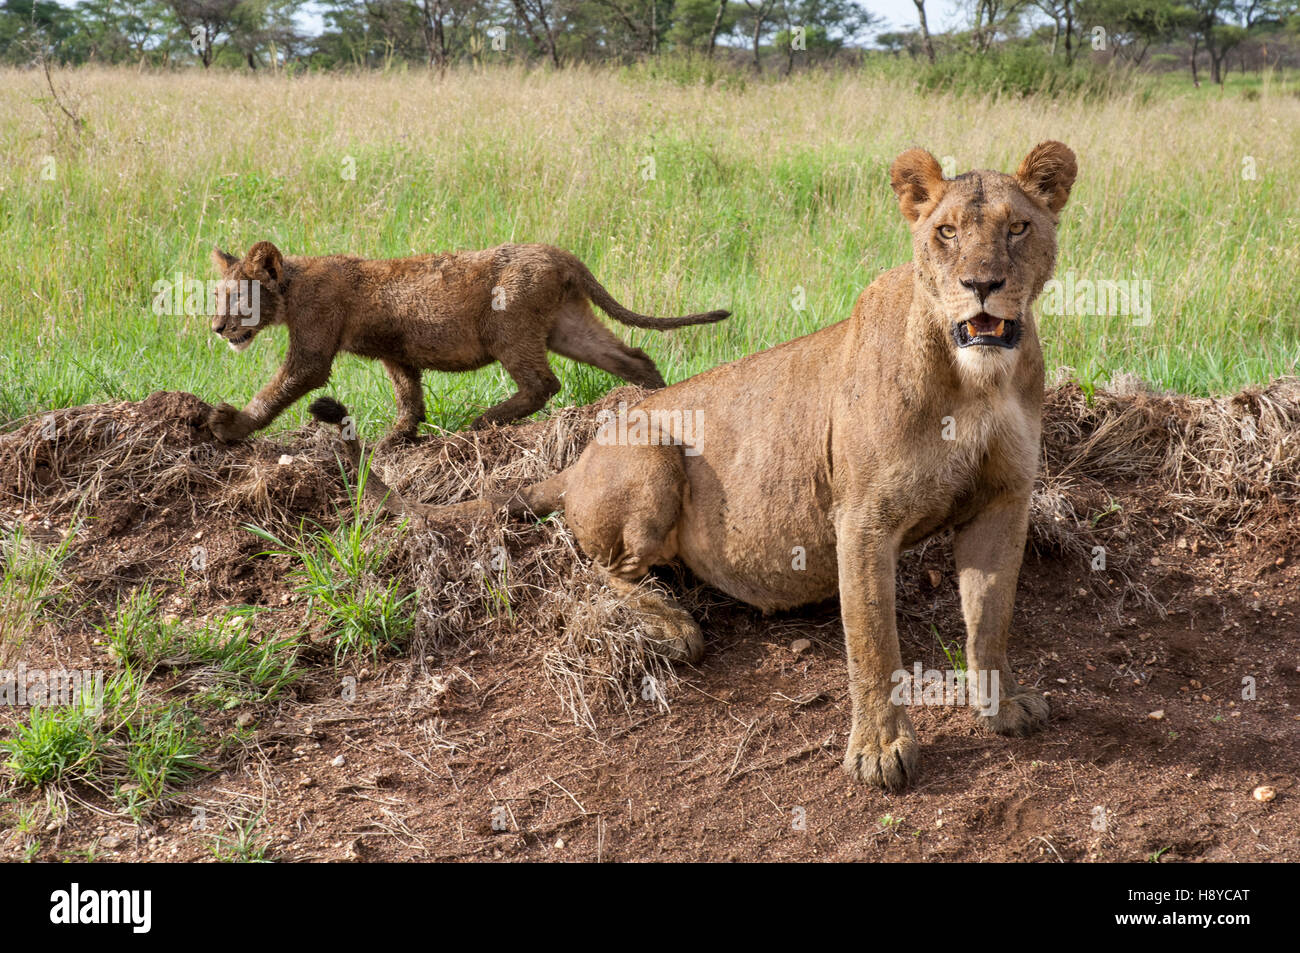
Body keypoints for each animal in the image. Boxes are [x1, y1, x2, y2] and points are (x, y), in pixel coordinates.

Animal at [204, 242, 729, 444]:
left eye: (238, 298)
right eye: (217, 295)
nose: (216, 328)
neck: (291, 288)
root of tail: (560, 253)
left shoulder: (312, 348)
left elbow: (278, 389)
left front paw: (229, 425)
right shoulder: (395, 354)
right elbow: (409, 397)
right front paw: (398, 438)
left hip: (508, 326)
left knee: (543, 384)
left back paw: (482, 423)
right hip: (568, 327)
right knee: (631, 357)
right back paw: (656, 397)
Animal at [313, 142, 1077, 791]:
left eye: (1017, 228)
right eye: (946, 232)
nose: (983, 285)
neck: (975, 379)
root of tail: (576, 460)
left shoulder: (1003, 504)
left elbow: (990, 620)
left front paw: (1004, 707)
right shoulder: (863, 518)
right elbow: (873, 644)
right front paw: (880, 751)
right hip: (650, 455)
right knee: (600, 569)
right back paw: (671, 622)